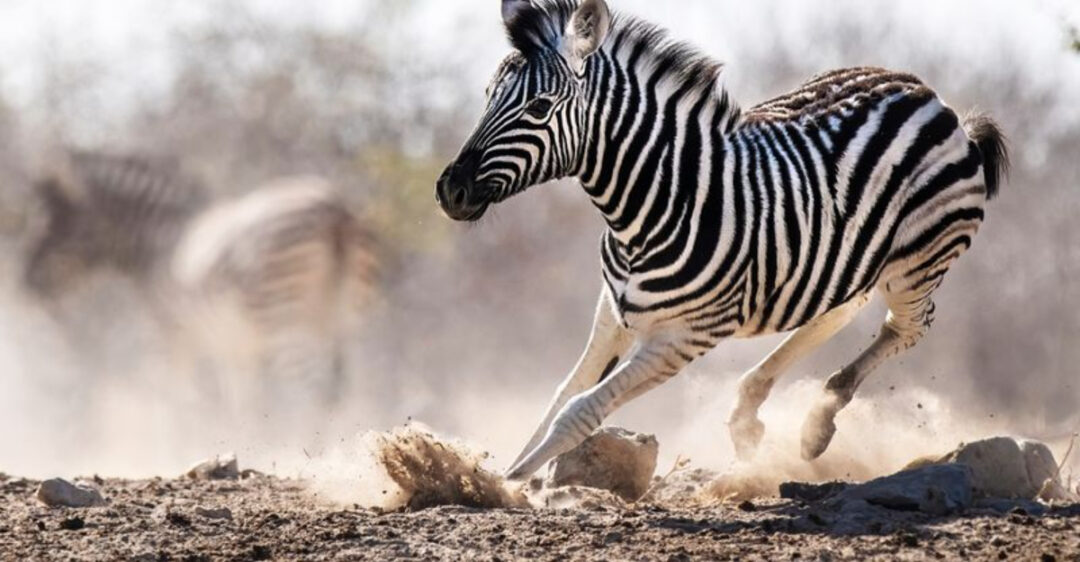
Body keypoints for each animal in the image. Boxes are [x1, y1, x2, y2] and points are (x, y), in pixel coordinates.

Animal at [436, 0, 1009, 480]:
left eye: (538, 106)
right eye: (487, 96)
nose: (449, 190)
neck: (652, 205)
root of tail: (936, 102)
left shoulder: (684, 337)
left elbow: (581, 410)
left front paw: (511, 484)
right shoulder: (613, 312)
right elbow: (562, 393)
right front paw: (505, 473)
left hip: (917, 261)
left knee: (907, 326)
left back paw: (817, 421)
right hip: (849, 258)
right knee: (839, 311)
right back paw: (752, 411)